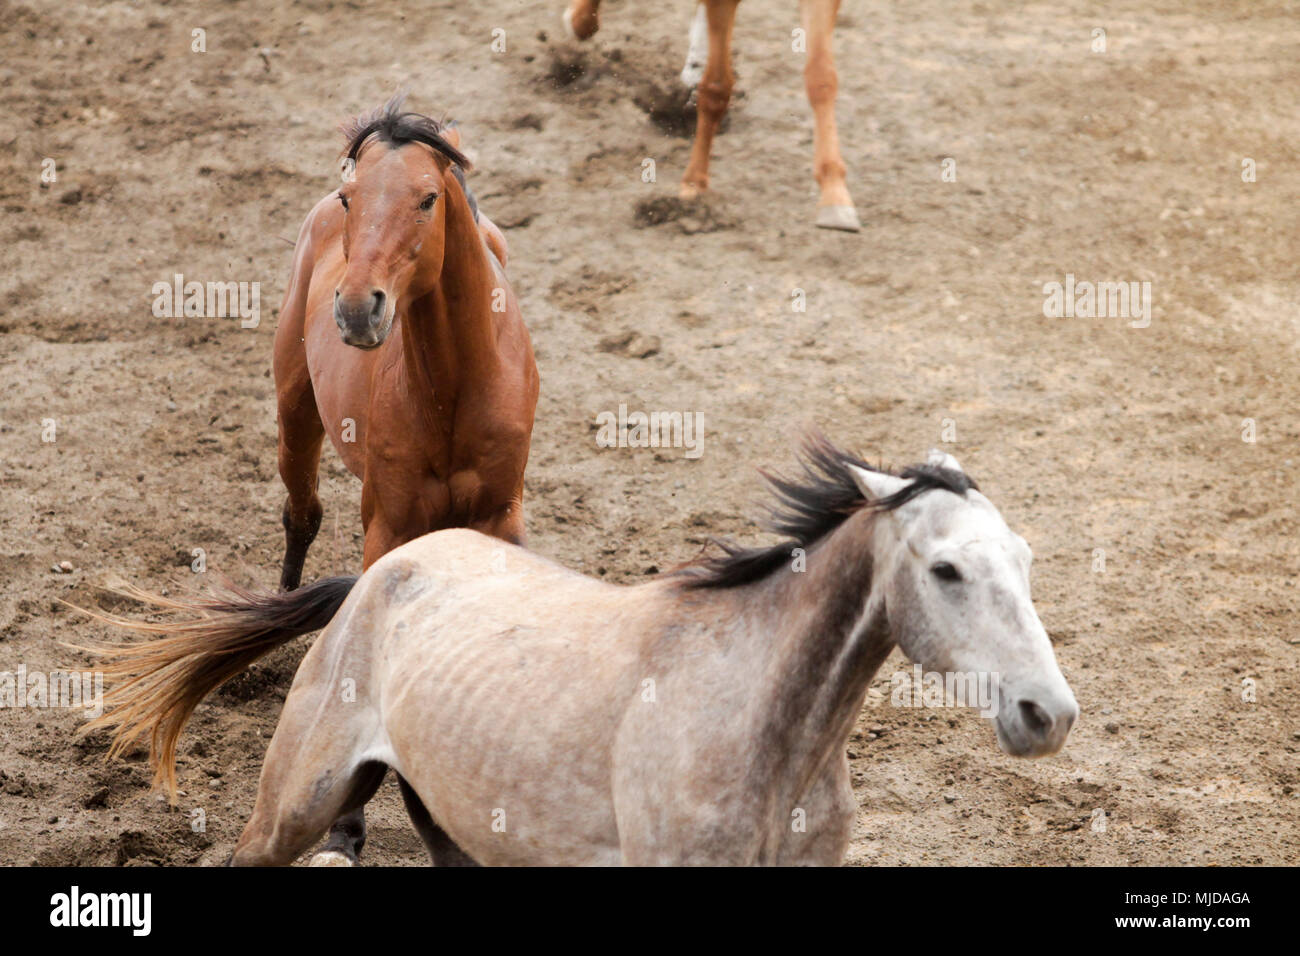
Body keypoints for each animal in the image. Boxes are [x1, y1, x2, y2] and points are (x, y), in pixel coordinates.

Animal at [82, 435, 1077, 866]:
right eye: (946, 569)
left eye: (1028, 559)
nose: (1049, 714)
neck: (763, 725)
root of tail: (379, 574)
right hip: (295, 805)